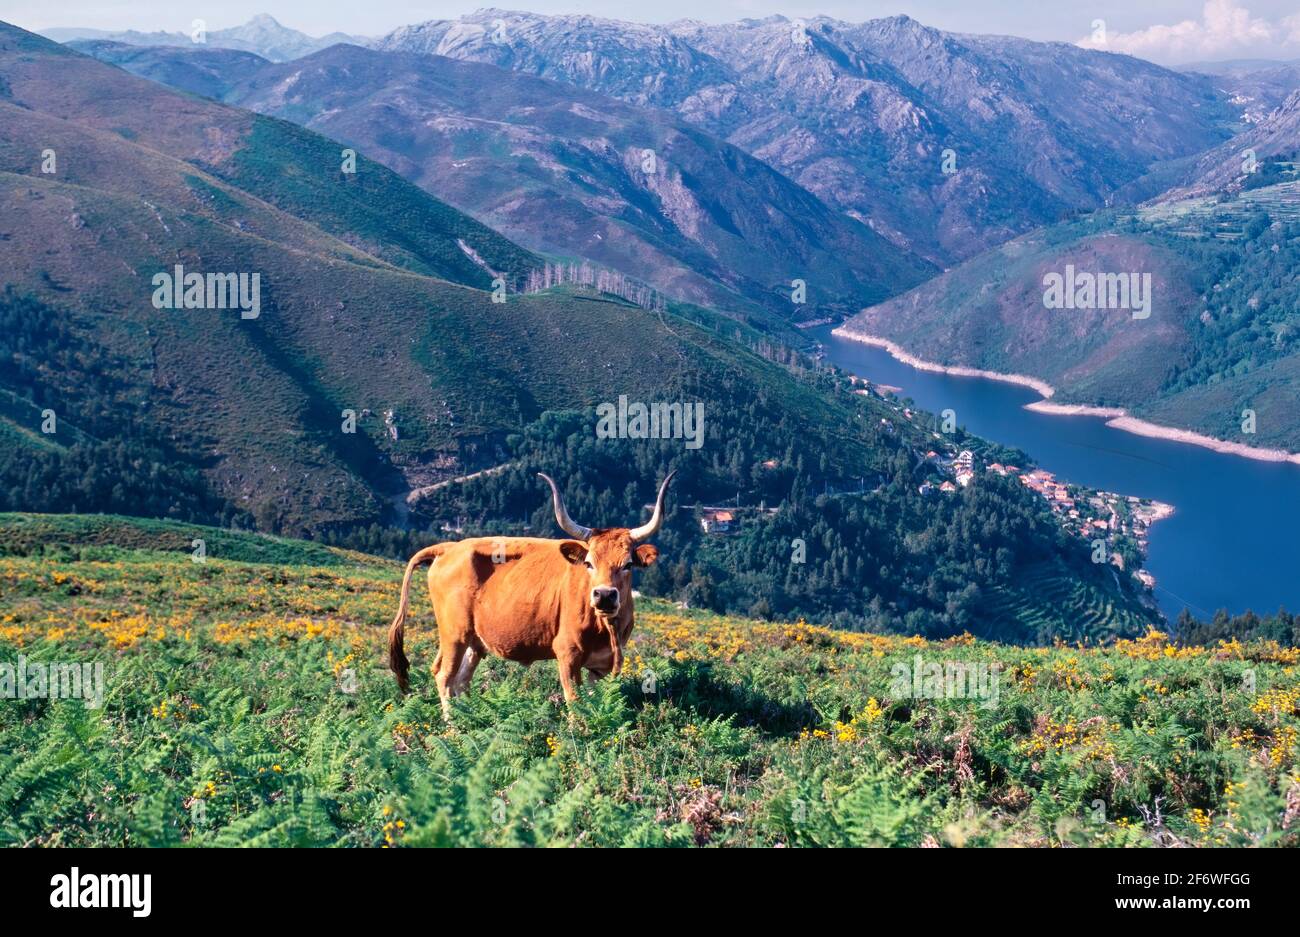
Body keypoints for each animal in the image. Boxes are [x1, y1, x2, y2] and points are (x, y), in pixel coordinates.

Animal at [387, 471, 674, 715]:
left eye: (628, 564)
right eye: (589, 563)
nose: (604, 595)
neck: (606, 631)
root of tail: (449, 547)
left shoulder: (602, 664)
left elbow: (596, 700)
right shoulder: (567, 653)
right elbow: (575, 701)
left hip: (474, 640)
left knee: (461, 679)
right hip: (454, 634)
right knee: (443, 674)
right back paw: (454, 727)